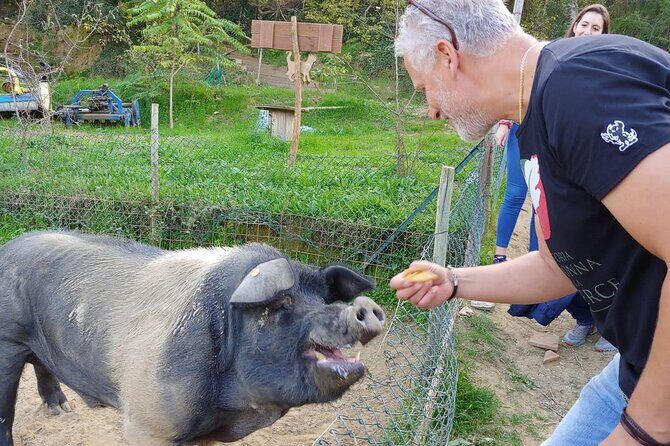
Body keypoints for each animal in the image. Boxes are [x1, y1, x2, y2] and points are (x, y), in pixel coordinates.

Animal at [0, 230, 385, 445]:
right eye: (282, 304)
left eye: (323, 300)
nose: (364, 306)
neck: (231, 407)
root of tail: (9, 247)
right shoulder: (147, 422)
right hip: (7, 338)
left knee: (41, 362)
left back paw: (60, 410)